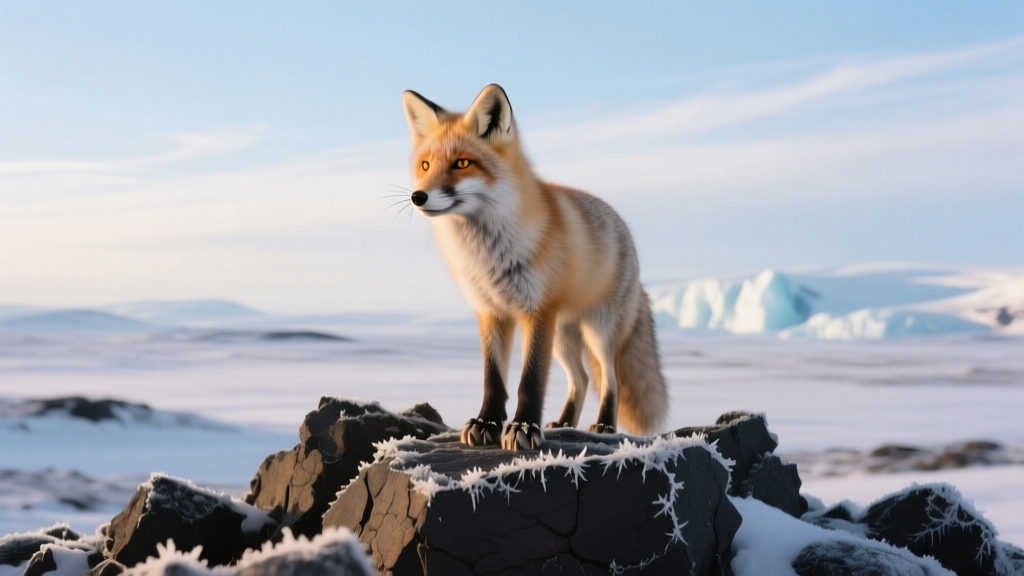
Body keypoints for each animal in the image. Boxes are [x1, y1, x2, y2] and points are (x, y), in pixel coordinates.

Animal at [402, 84, 667, 451]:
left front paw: (524, 427)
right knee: (581, 379)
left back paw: (604, 425)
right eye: (425, 165)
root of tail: (623, 227)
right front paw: (486, 422)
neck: (487, 254)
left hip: (597, 331)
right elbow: (493, 378)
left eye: (462, 163)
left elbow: (530, 381)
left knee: (609, 378)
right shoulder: (491, 311)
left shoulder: (537, 311)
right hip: (563, 337)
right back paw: (565, 422)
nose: (418, 196)